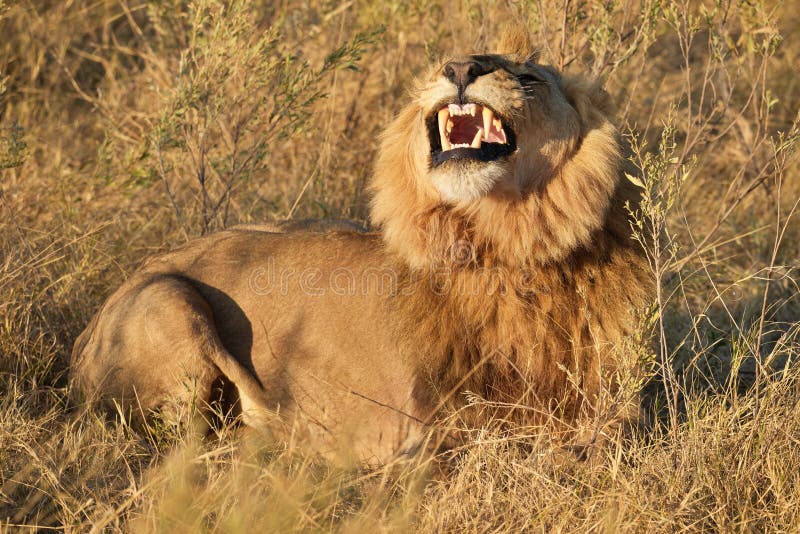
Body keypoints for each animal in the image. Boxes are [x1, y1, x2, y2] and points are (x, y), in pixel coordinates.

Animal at [70, 32, 651, 464]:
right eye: (445, 63)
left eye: (529, 78)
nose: (461, 67)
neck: (499, 242)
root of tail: (83, 336)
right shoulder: (426, 432)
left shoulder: (611, 408)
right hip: (170, 299)